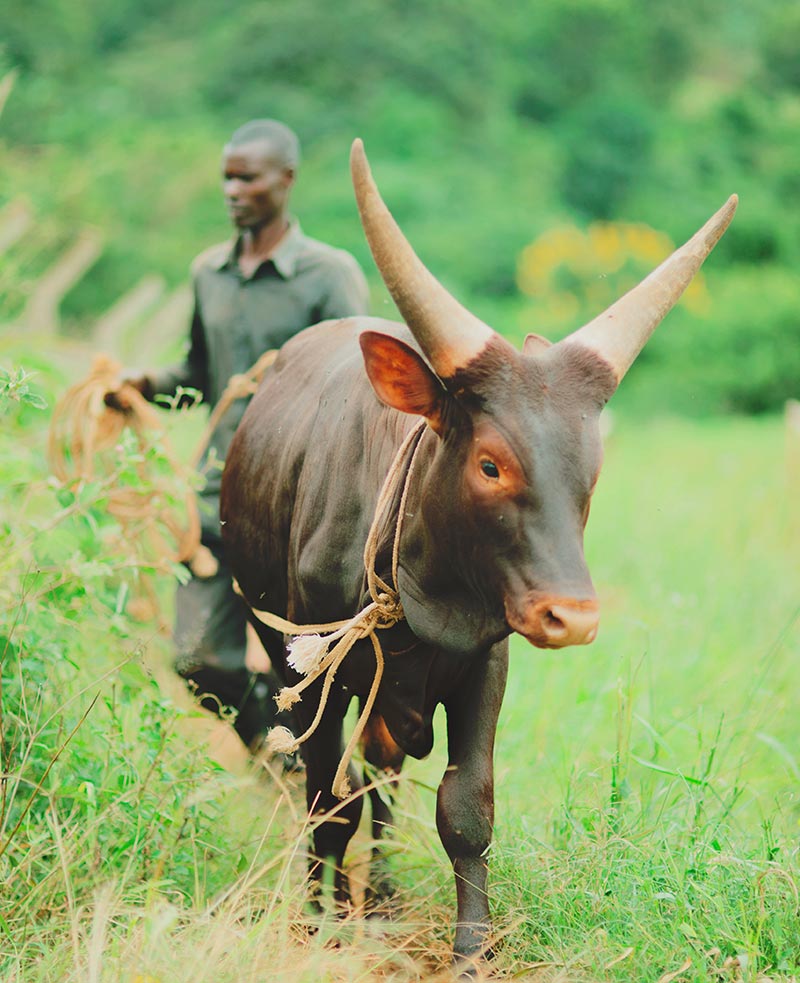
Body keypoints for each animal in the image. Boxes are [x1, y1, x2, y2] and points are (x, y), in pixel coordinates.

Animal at [220, 138, 736, 972]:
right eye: (491, 463)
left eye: (592, 468)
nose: (572, 616)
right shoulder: (319, 666)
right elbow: (328, 799)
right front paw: (321, 928)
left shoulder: (486, 662)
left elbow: (464, 808)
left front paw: (469, 949)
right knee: (340, 783)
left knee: (383, 774)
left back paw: (381, 898)